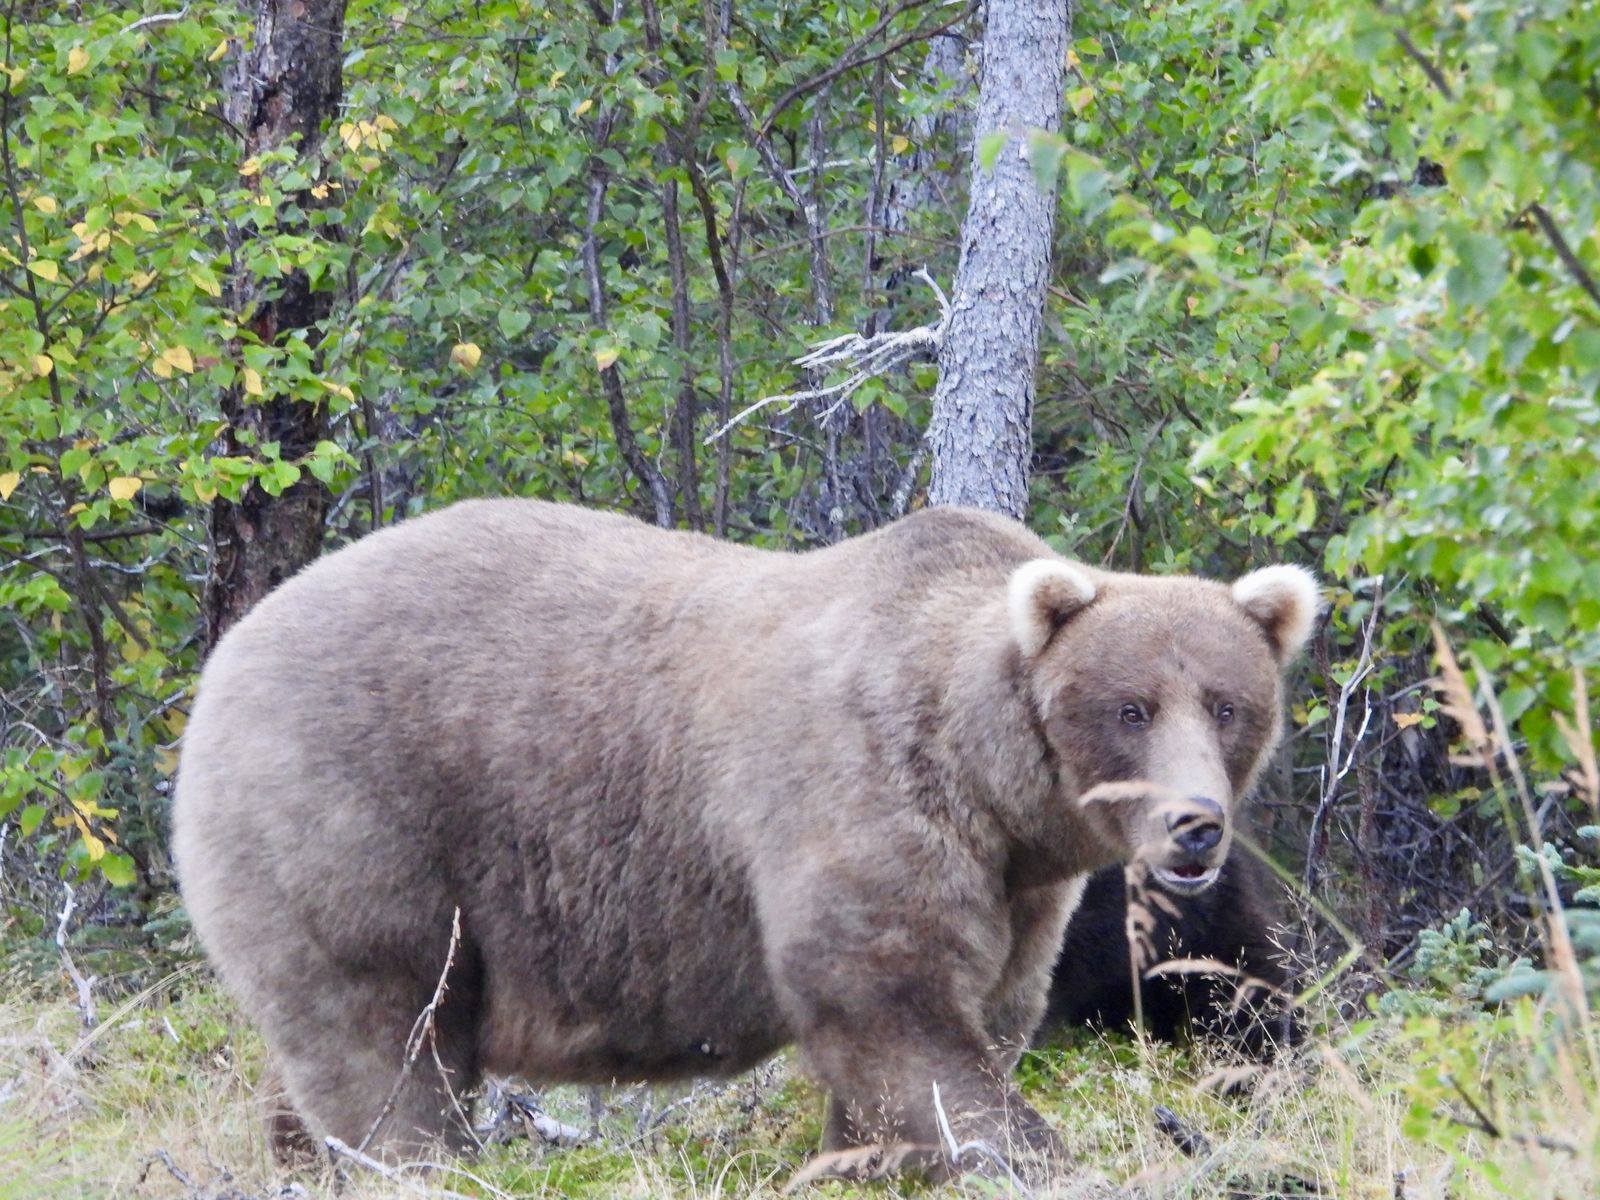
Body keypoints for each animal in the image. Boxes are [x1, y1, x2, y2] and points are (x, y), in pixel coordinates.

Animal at [171, 500, 1317, 1180]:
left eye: (1226, 705)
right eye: (1129, 707)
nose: (1193, 826)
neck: (991, 784)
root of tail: (231, 647)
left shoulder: (1019, 889)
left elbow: (981, 1013)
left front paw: (862, 1160)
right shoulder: (860, 795)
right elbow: (892, 1007)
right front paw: (1023, 1153)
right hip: (361, 816)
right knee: (387, 1044)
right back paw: (419, 1164)